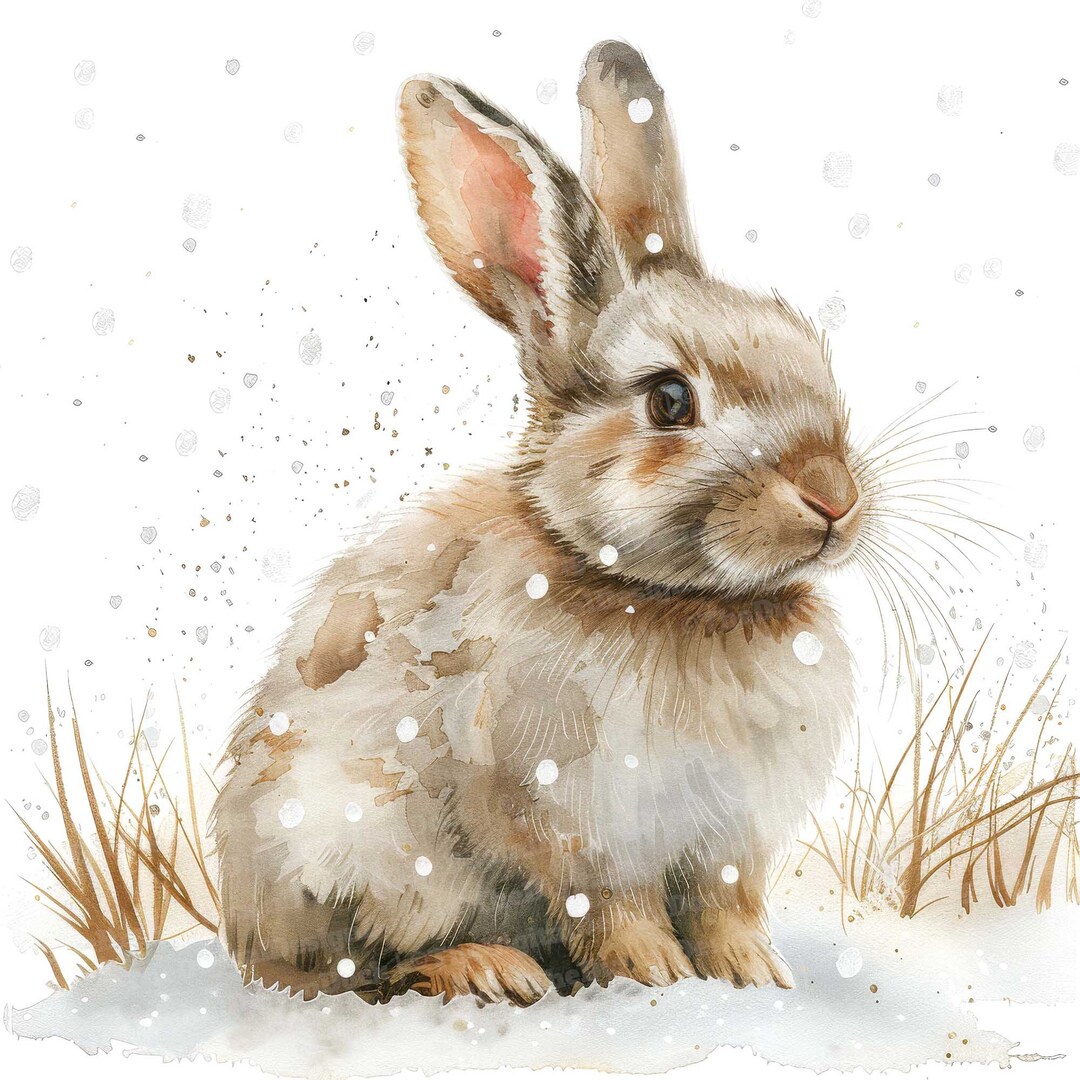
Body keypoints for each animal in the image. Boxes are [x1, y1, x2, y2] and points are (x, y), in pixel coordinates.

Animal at [212, 39, 870, 1006]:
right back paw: (488, 968)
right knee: (342, 970)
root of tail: (238, 918)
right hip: (347, 846)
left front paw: (754, 973)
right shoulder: (576, 817)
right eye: (670, 401)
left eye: (817, 359)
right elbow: (615, 907)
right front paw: (656, 976)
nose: (833, 495)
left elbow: (727, 907)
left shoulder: (729, 837)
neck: (672, 599)